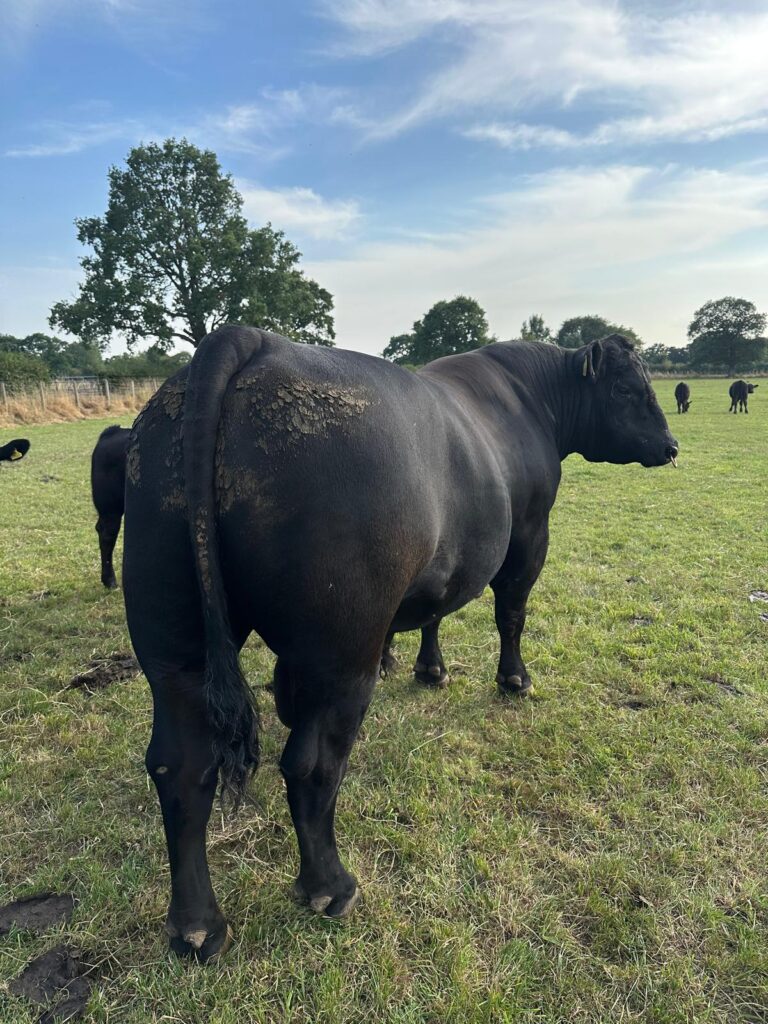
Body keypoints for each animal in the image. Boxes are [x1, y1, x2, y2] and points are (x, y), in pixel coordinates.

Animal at [123, 325, 678, 961]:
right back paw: (330, 886)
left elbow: (433, 613)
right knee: (310, 764)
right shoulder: (530, 534)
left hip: (175, 640)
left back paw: (196, 925)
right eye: (628, 387)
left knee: (182, 766)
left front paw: (426, 668)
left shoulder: (441, 565)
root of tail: (249, 339)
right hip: (342, 649)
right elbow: (510, 613)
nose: (671, 445)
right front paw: (514, 679)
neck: (532, 401)